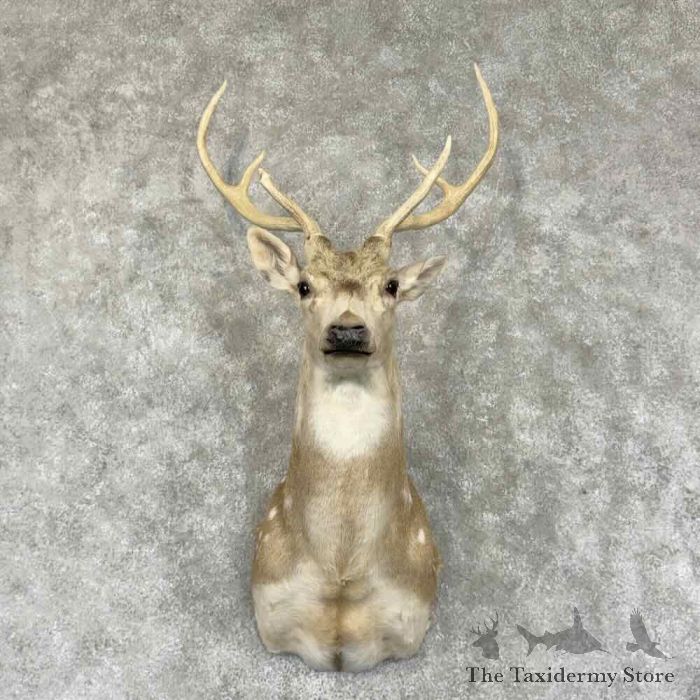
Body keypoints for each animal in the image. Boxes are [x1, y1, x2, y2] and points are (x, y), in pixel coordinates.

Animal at [196, 64, 498, 672]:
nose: (348, 330)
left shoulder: (413, 611)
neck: (340, 569)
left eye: (391, 286)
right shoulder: (269, 608)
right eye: (304, 286)